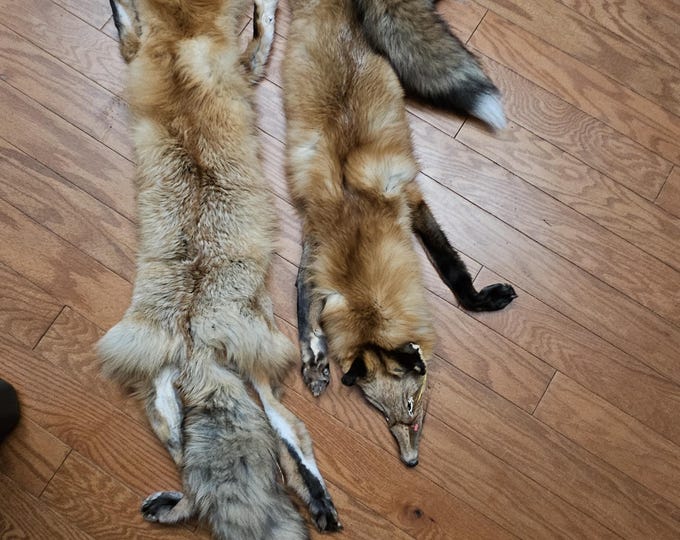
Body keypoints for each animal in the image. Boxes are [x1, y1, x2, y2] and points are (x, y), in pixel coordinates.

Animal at [97, 0, 340, 536]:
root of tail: (194, 338)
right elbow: (262, 35)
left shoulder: (137, 49)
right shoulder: (247, 68)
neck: (182, 44)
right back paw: (318, 501)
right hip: (263, 354)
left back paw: (173, 503)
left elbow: (126, 29)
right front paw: (266, 9)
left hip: (160, 388)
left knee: (186, 460)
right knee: (285, 430)